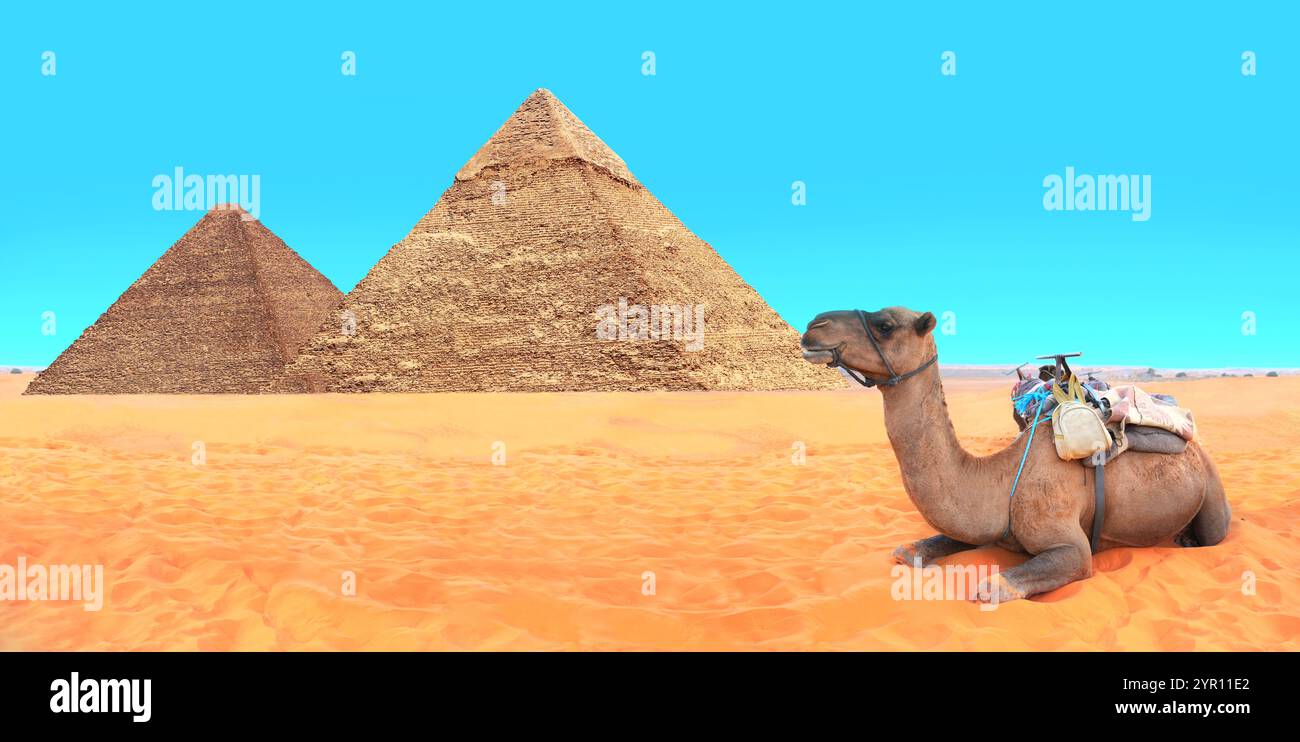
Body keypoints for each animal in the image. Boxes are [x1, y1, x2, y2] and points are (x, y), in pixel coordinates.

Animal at [799, 306, 1231, 603]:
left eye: (885, 325)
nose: (813, 326)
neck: (1003, 479)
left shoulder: (1072, 548)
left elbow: (992, 586)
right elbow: (909, 550)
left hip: (1211, 493)